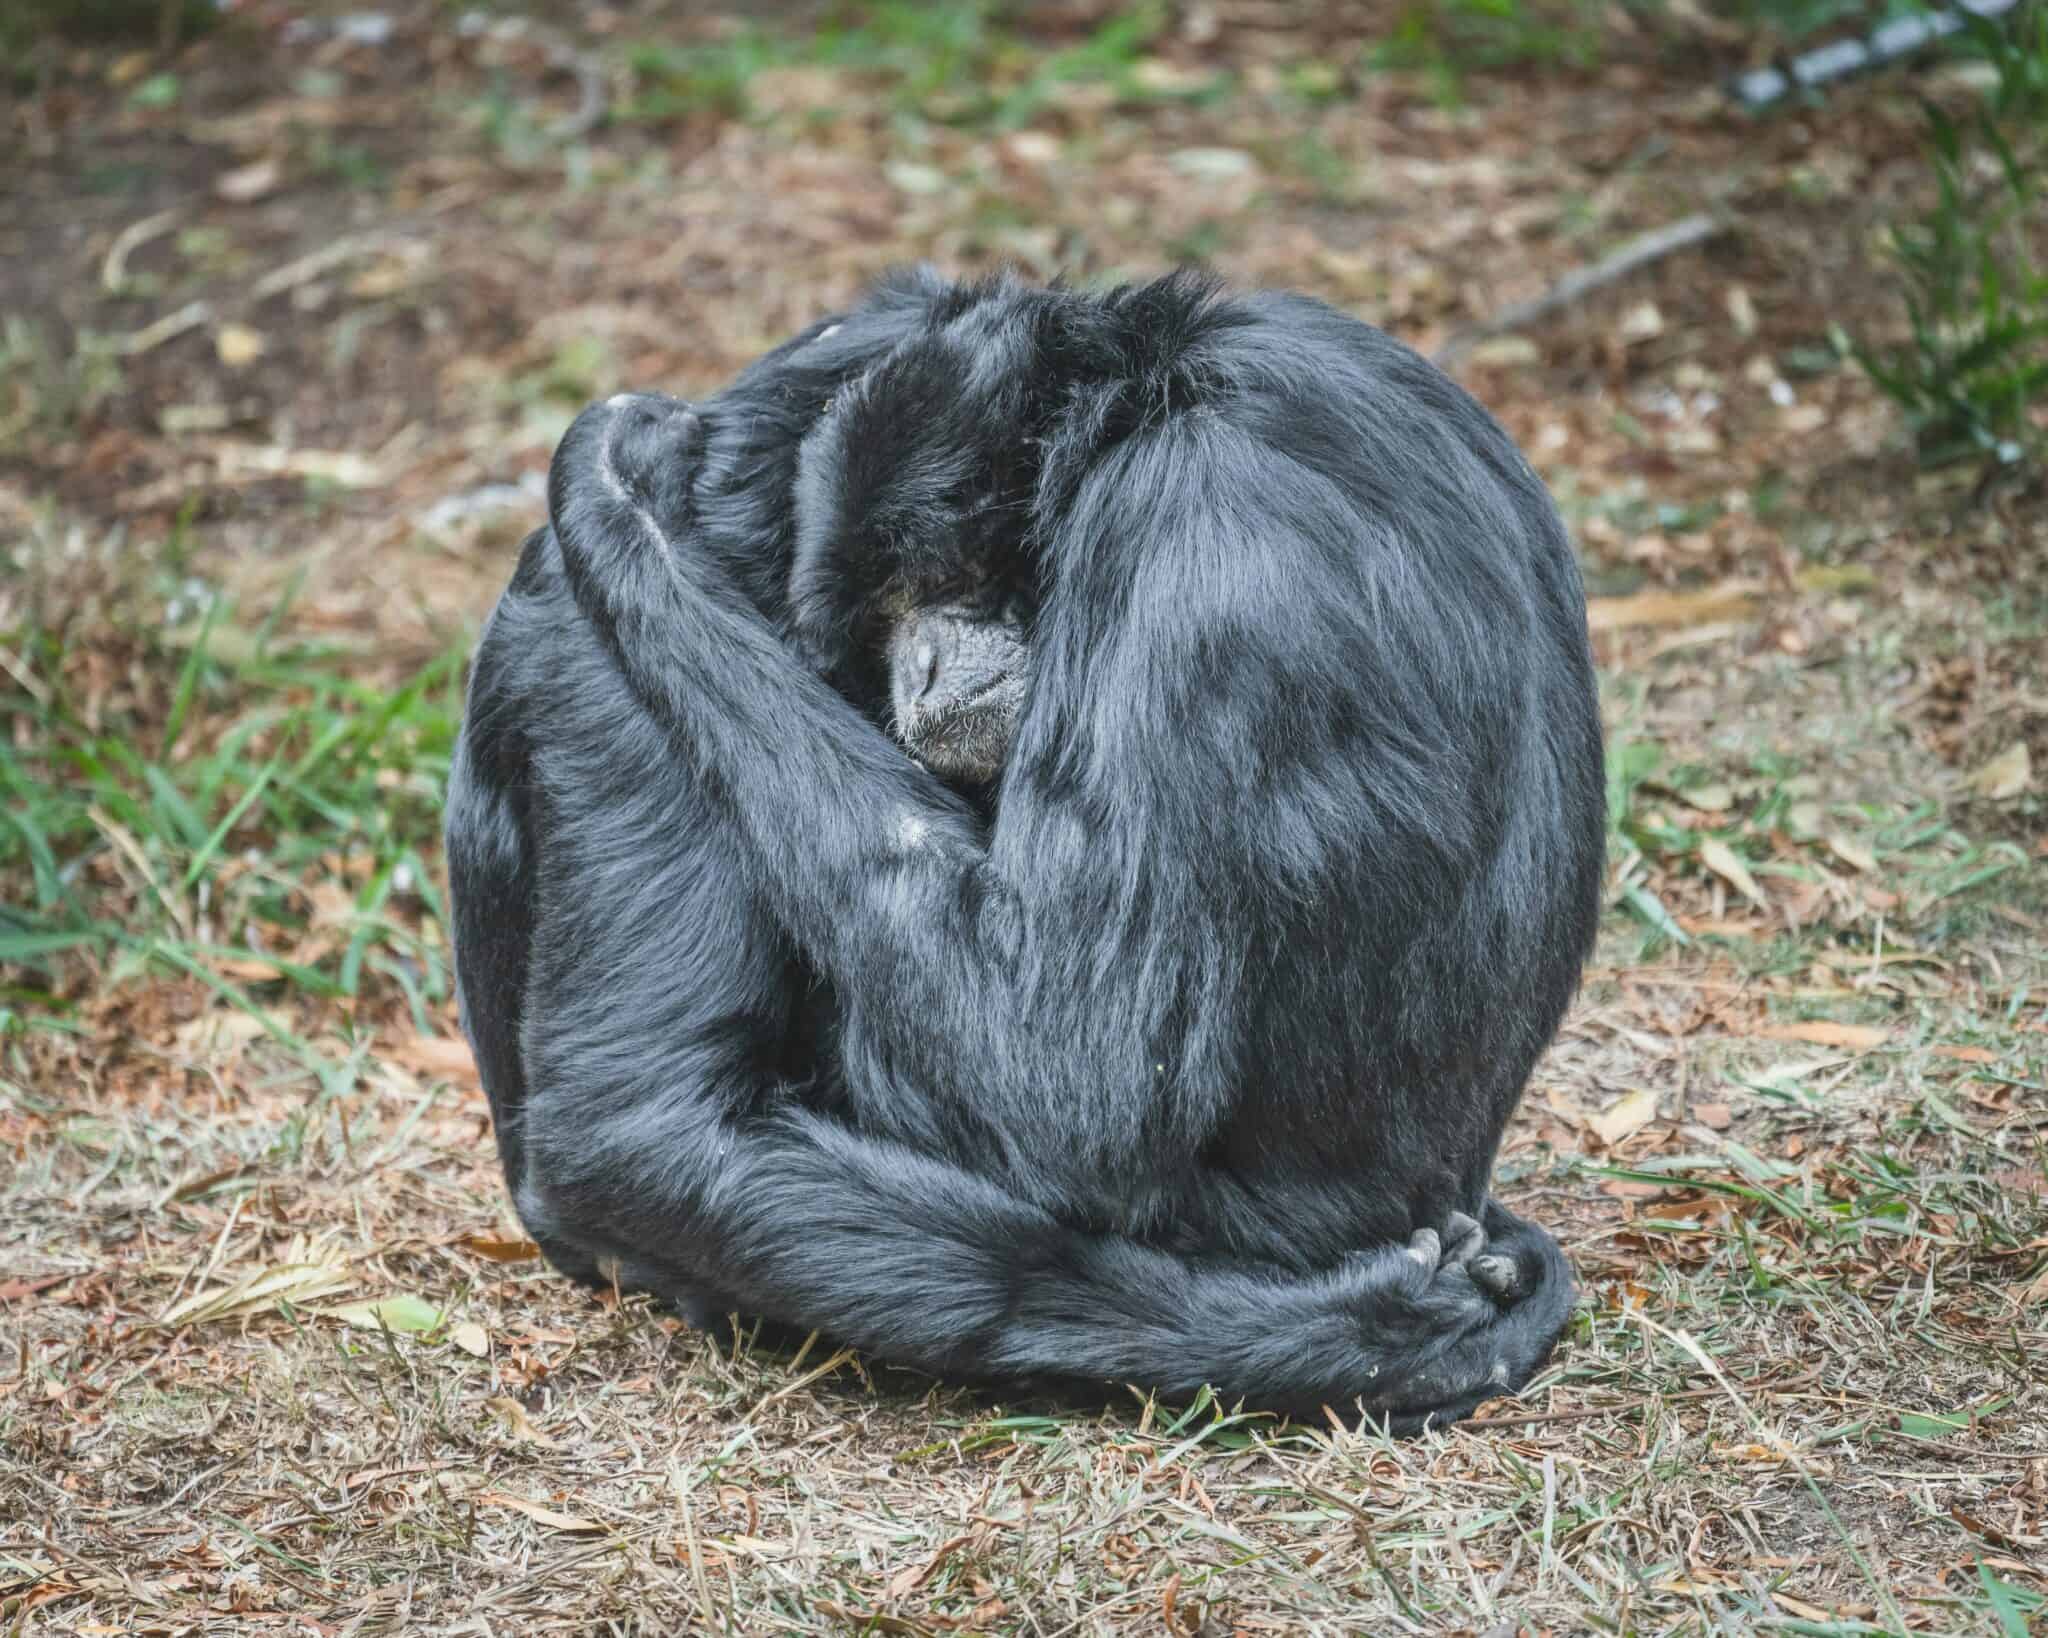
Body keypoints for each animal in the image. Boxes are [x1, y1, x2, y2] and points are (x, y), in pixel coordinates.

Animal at [443, 269, 1603, 1430]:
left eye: (931, 583)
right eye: (879, 611)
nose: (914, 669)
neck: (1172, 389)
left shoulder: (1205, 541)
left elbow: (1070, 1083)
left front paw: (624, 497)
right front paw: (1385, 1333)